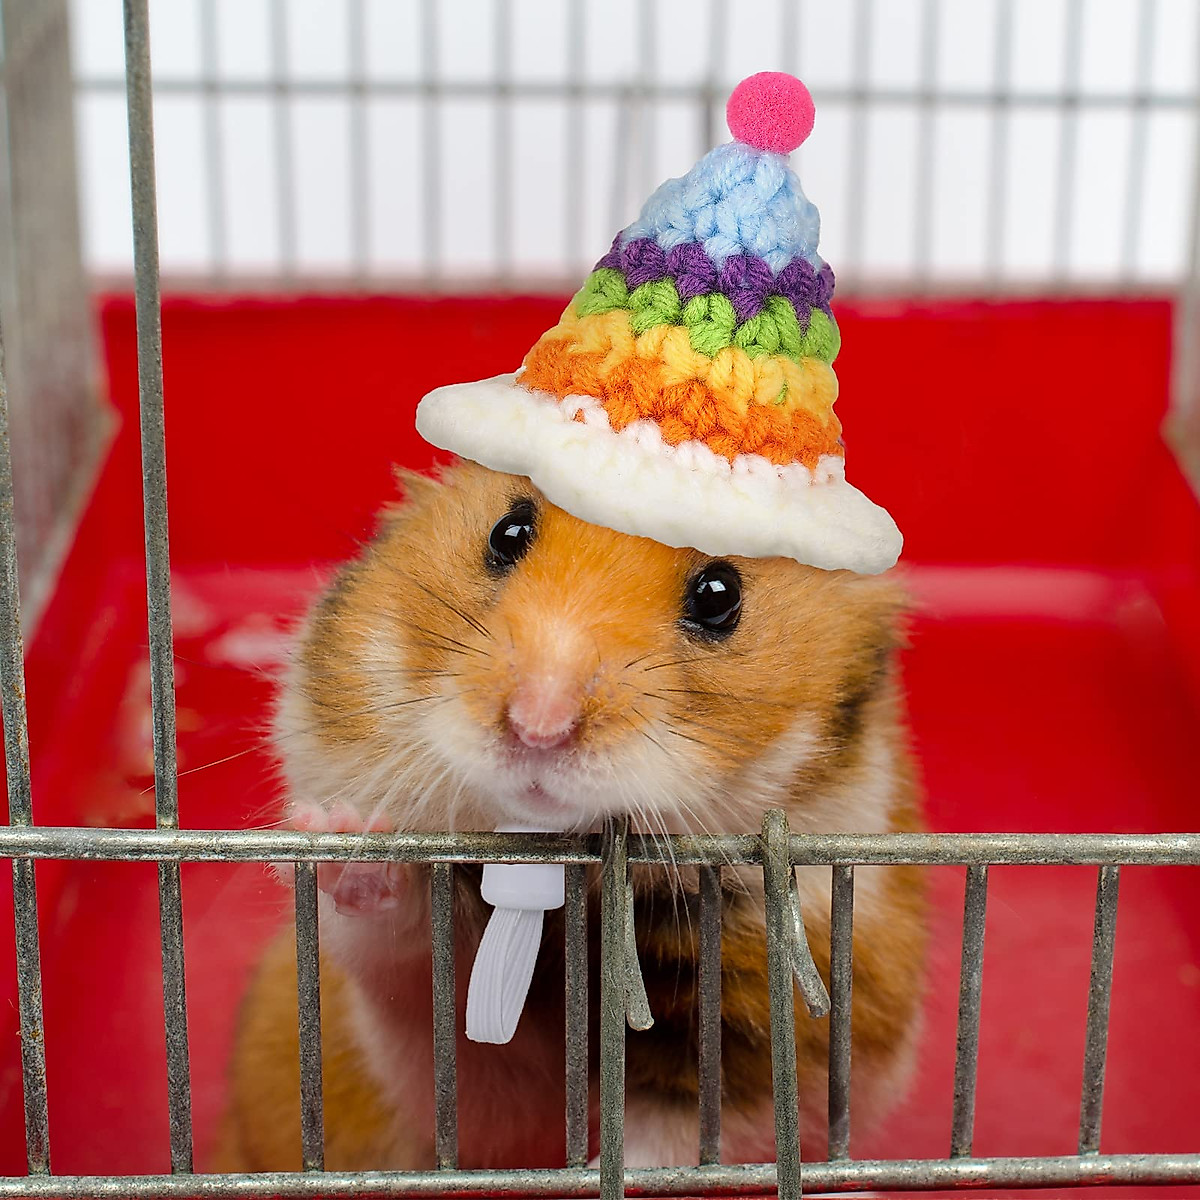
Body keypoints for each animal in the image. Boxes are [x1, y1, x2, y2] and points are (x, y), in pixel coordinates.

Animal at [213, 459, 927, 1172]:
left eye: (719, 595)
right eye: (508, 532)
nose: (538, 725)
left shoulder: (776, 1033)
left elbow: (681, 1138)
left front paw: (607, 1171)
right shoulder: (456, 1069)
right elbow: (410, 971)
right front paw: (345, 836)